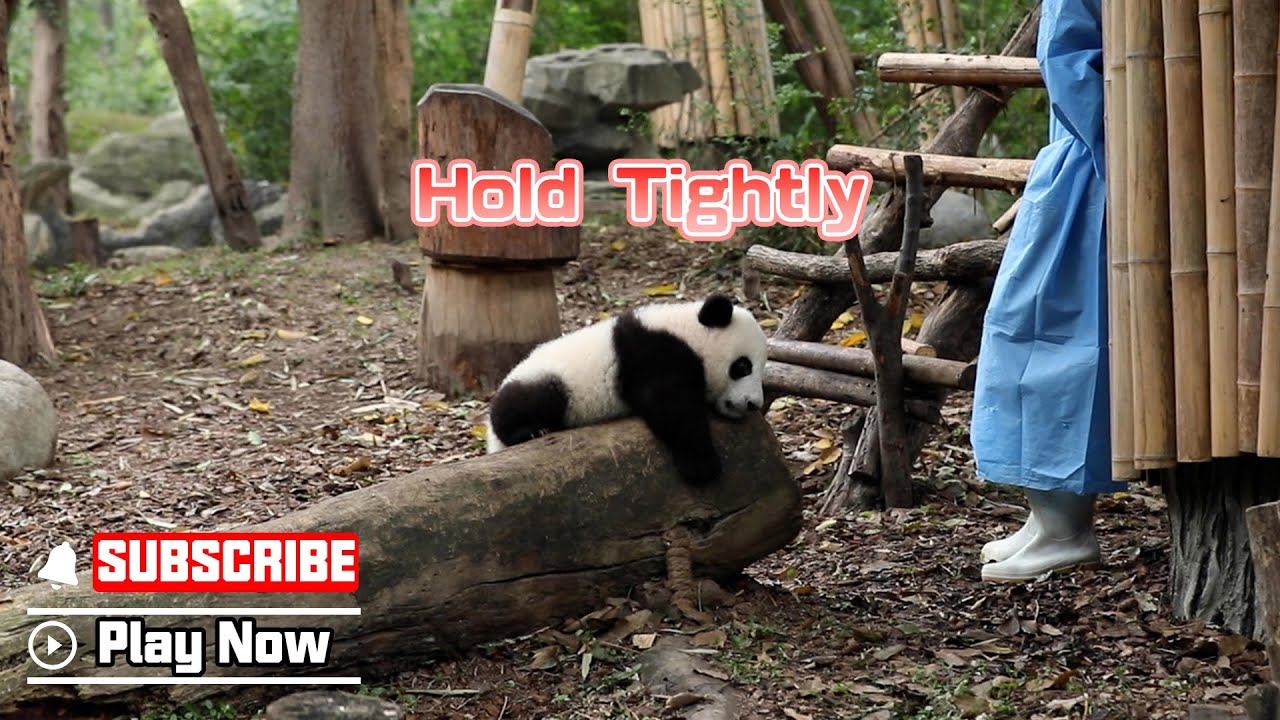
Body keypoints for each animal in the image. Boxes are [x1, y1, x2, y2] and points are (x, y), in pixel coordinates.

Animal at [484, 293, 768, 486]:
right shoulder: (652, 354)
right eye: (742, 366)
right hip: (547, 381)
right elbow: (671, 406)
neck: (688, 332)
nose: (753, 403)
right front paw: (702, 466)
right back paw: (532, 431)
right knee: (527, 404)